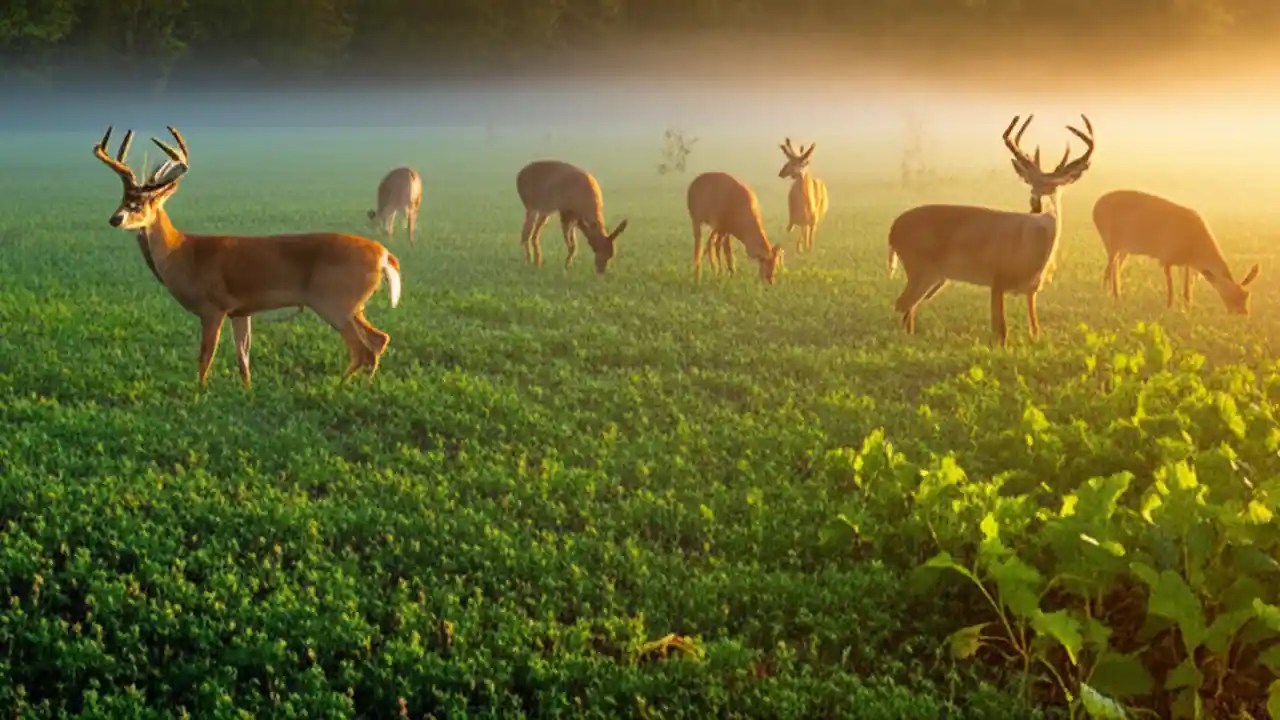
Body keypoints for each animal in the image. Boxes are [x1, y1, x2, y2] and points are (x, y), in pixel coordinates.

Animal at [93, 125, 402, 389]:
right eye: (123, 198)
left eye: (141, 203)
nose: (115, 218)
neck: (182, 253)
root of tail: (384, 254)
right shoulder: (241, 310)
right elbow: (243, 359)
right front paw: (247, 392)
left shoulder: (213, 306)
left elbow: (205, 357)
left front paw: (199, 394)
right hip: (353, 305)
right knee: (378, 340)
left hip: (335, 302)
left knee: (363, 348)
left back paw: (340, 387)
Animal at [887, 113, 1095, 345]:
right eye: (1031, 183)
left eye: (1054, 186)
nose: (1036, 203)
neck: (1032, 249)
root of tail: (893, 230)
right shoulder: (998, 279)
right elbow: (1001, 332)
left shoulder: (1032, 290)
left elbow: (1035, 330)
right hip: (920, 267)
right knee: (902, 304)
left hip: (934, 276)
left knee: (909, 308)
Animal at [1092, 189, 1259, 314]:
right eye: (1234, 297)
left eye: (1247, 295)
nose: (1243, 313)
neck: (1196, 244)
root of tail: (1096, 206)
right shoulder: (1167, 258)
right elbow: (1171, 288)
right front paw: (1169, 308)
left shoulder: (1186, 263)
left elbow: (1186, 289)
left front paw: (1187, 308)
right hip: (1111, 243)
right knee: (1111, 267)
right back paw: (1113, 295)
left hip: (1124, 249)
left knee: (1114, 267)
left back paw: (1111, 293)